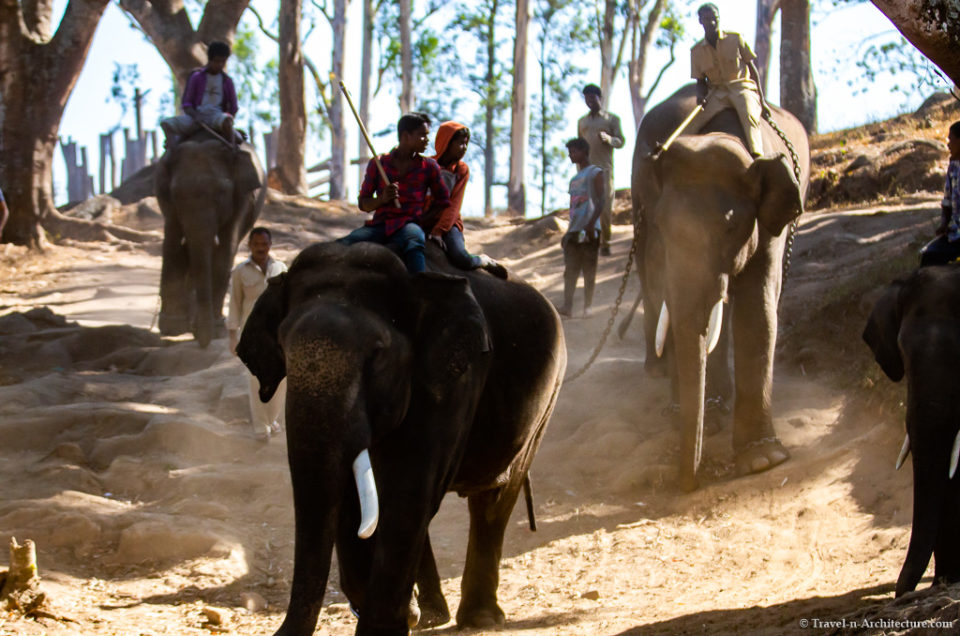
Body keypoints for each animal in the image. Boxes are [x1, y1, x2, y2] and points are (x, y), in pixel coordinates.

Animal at [155, 131, 265, 348]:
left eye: (221, 193)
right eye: (175, 193)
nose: (203, 343)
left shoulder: (241, 197)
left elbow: (226, 247)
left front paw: (215, 330)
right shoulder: (166, 199)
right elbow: (172, 243)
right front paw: (173, 328)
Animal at [236, 240, 566, 635]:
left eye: (377, 355)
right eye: (284, 350)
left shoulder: (455, 381)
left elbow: (407, 491)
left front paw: (389, 625)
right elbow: (354, 501)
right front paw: (404, 614)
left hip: (547, 398)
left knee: (494, 499)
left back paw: (480, 619)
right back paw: (432, 615)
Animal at [632, 83, 810, 491]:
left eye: (730, 228)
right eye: (662, 224)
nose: (688, 483)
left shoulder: (769, 220)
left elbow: (757, 308)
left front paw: (762, 461)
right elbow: (670, 300)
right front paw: (691, 417)